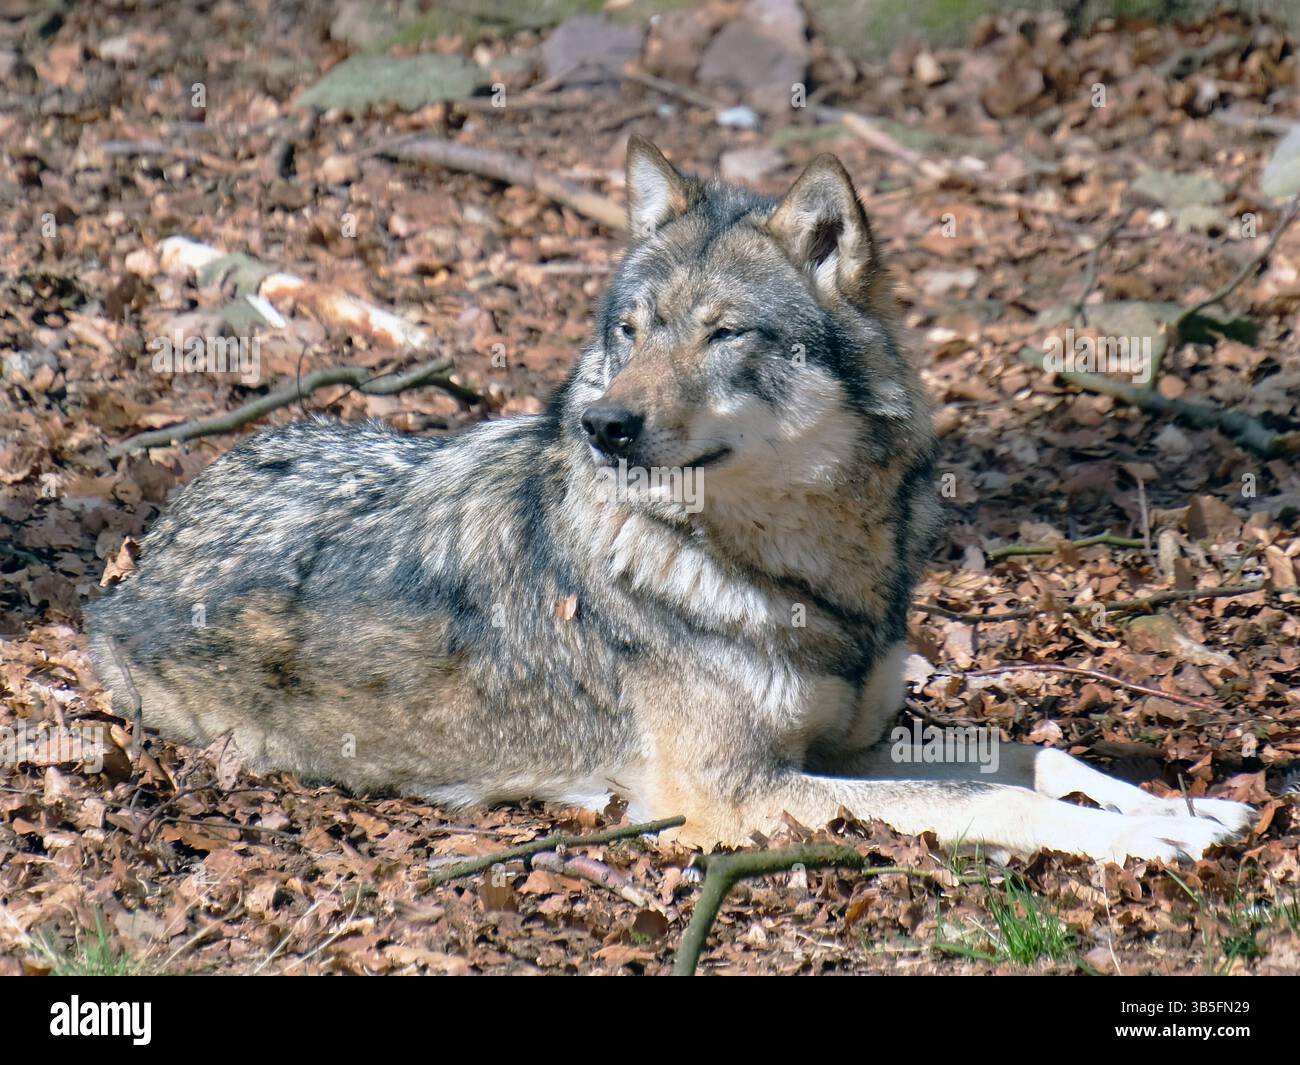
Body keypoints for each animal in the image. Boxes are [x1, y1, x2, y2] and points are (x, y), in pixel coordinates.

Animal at [87, 138, 1253, 863]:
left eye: (723, 332)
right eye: (633, 329)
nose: (607, 424)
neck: (799, 575)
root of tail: (143, 550)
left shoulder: (835, 747)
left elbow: (1039, 756)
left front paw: (1186, 804)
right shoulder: (738, 794)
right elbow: (988, 796)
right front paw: (1143, 838)